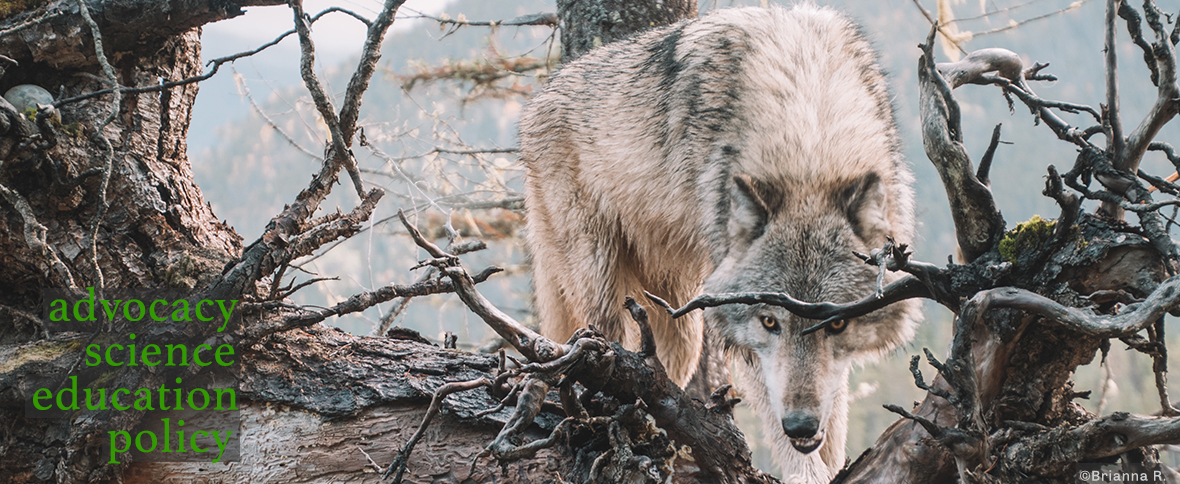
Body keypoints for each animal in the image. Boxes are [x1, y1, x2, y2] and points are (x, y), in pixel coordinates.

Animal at [519, 4, 920, 482]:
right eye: (769, 322)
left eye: (836, 324)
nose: (801, 426)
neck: (809, 134)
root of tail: (539, 99)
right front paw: (806, 471)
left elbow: (836, 407)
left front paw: (835, 463)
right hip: (604, 291)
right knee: (605, 356)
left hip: (679, 324)